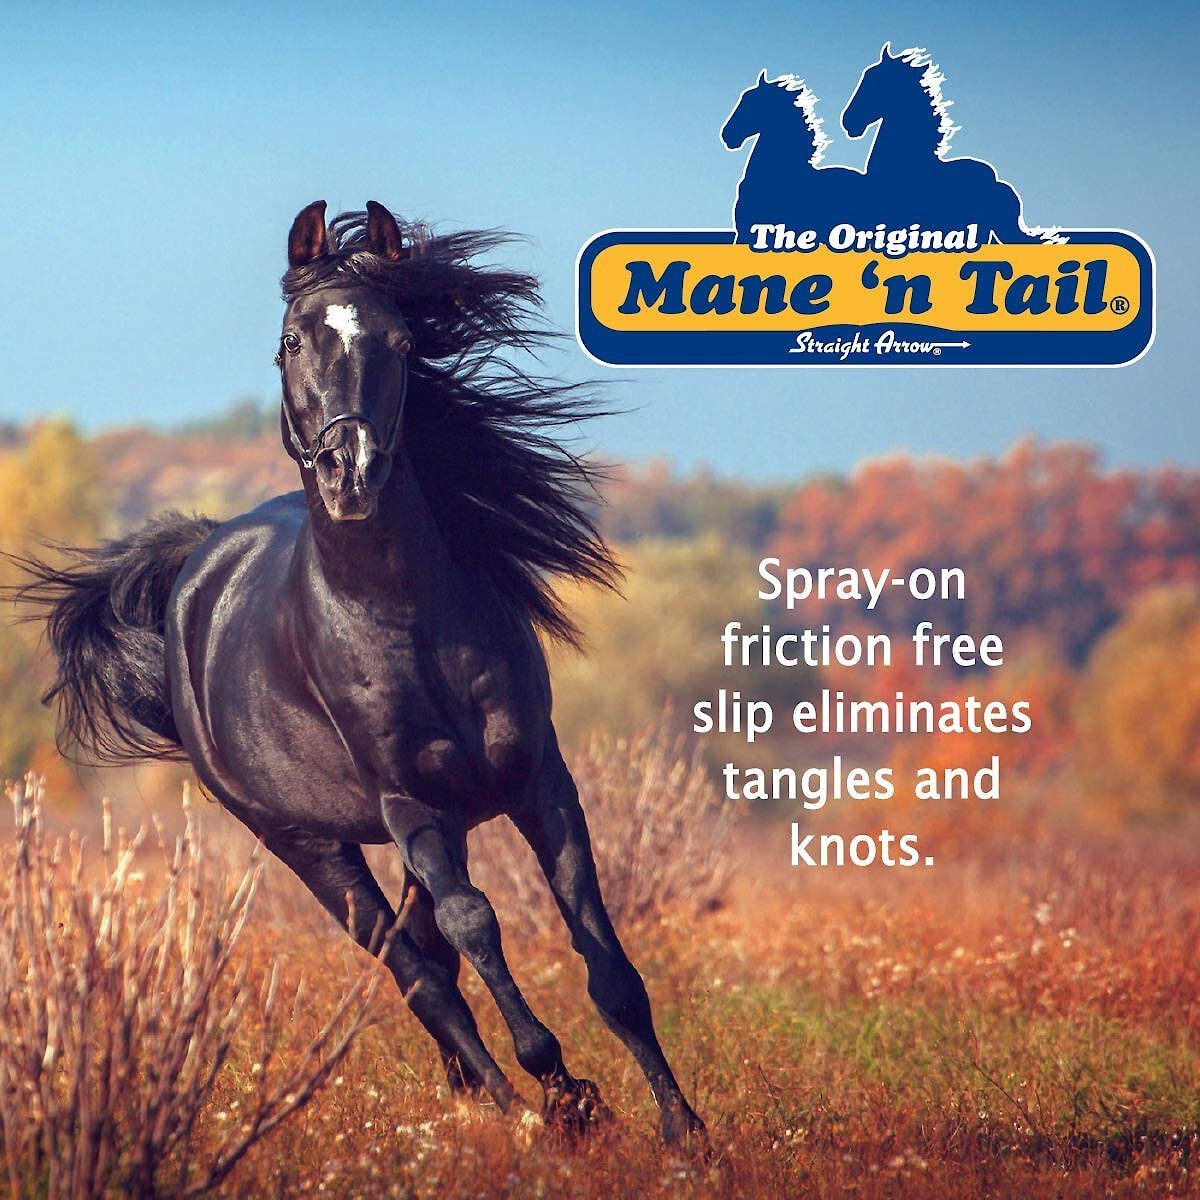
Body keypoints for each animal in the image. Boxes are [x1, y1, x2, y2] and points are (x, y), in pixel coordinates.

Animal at [14, 201, 706, 1147]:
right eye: (289, 340)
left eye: (403, 341)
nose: (352, 474)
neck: (402, 620)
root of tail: (198, 560)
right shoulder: (409, 806)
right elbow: (474, 925)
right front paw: (566, 1096)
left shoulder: (538, 783)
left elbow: (603, 959)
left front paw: (683, 1130)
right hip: (309, 844)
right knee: (416, 970)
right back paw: (511, 1108)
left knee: (429, 954)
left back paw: (478, 1090)